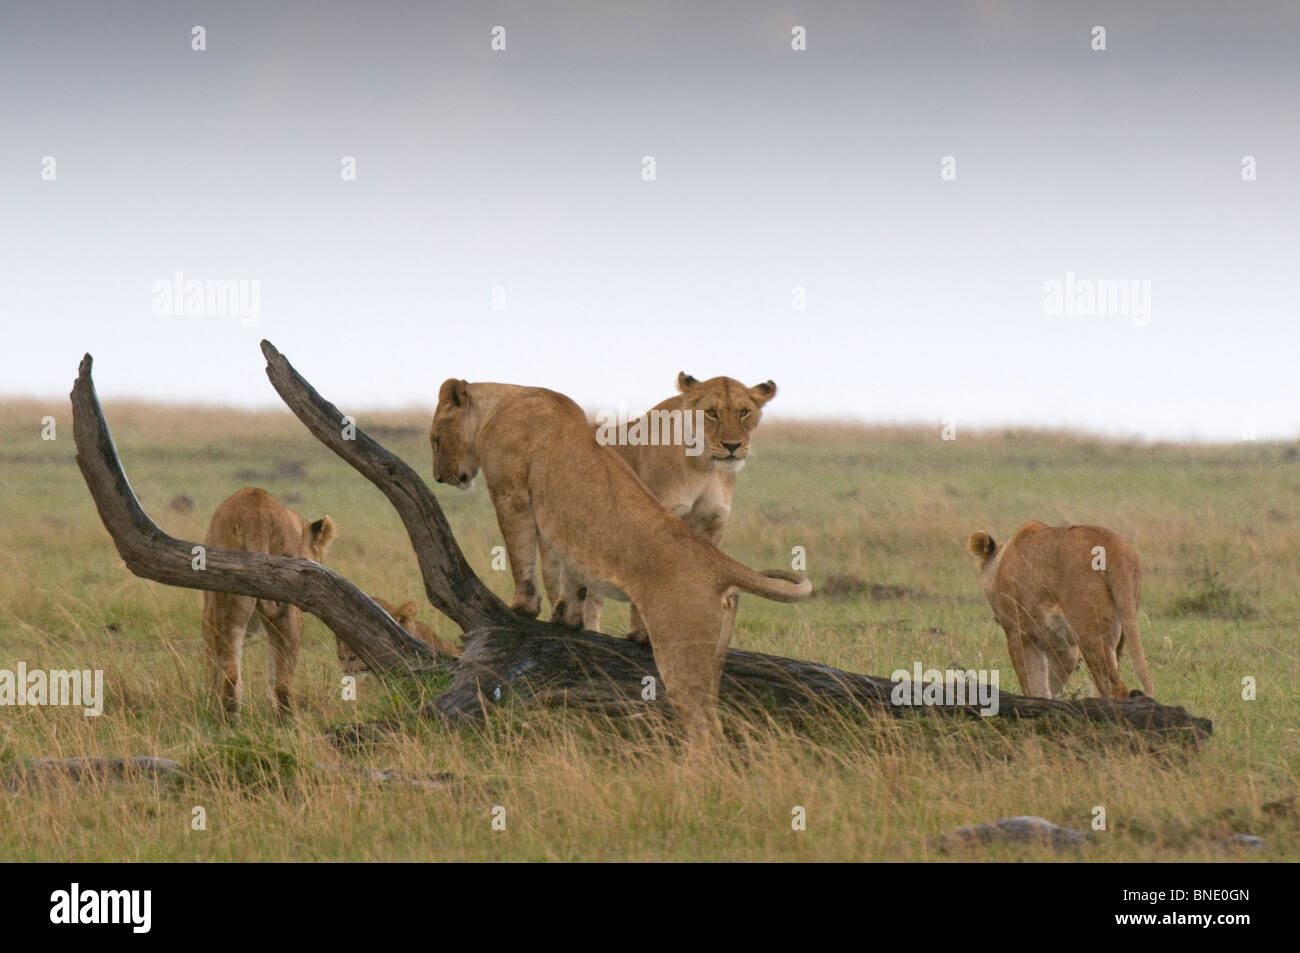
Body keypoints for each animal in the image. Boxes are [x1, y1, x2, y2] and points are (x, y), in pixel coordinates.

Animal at [201, 487, 335, 717]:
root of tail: (257, 514)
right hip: (288, 606)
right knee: (281, 679)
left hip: (229, 598)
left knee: (232, 673)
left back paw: (230, 717)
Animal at [539, 372, 777, 643]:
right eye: (711, 412)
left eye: (744, 412)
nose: (732, 446)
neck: (704, 465)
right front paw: (641, 634)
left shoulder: (713, 522)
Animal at [967, 521, 1153, 700]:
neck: (1000, 560)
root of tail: (1114, 546)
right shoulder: (1061, 648)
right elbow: (1049, 687)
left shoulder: (1017, 633)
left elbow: (1033, 686)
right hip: (1121, 629)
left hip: (1089, 630)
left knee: (1115, 686)